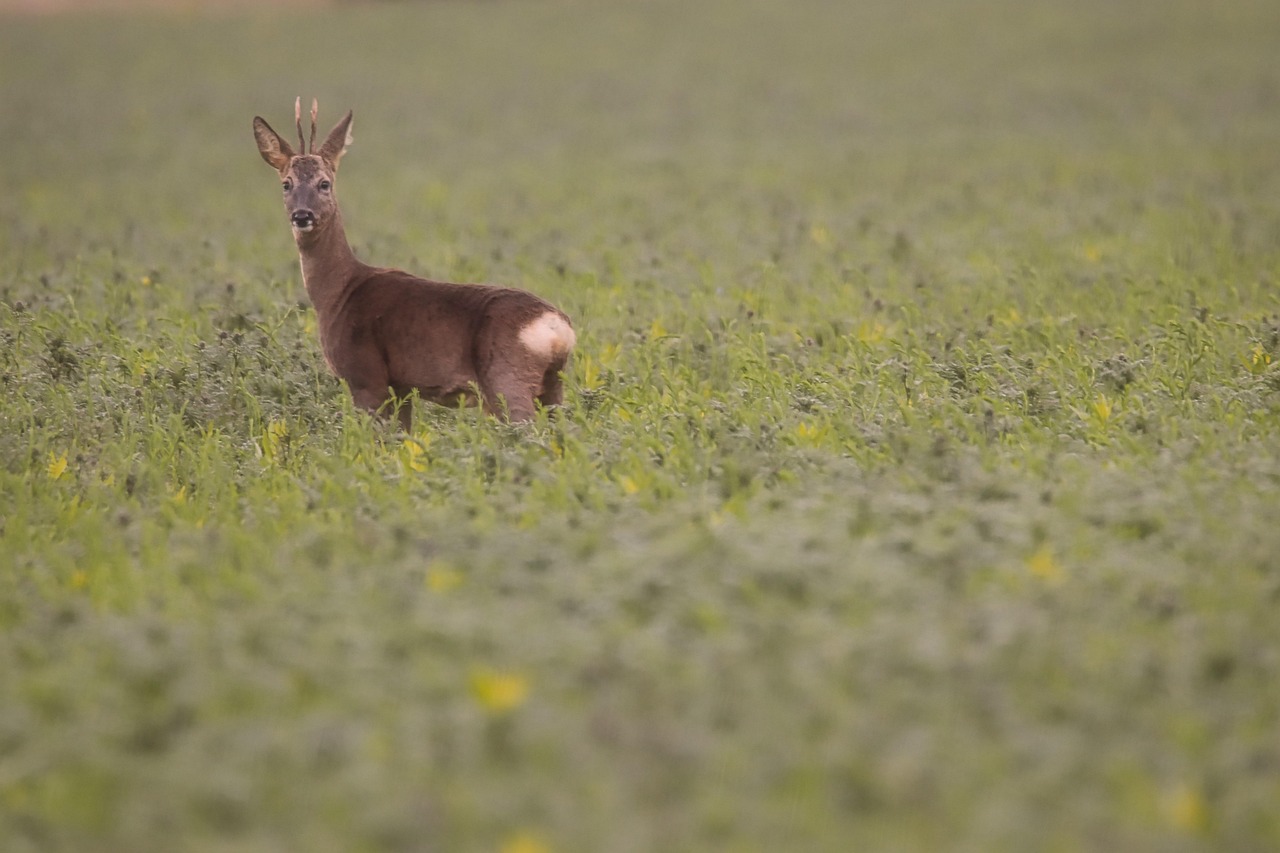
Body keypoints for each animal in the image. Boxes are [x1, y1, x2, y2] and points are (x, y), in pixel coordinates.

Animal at [252, 98, 575, 428]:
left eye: (324, 183)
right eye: (286, 184)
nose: (302, 215)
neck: (339, 292)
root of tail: (556, 329)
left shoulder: (366, 376)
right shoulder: (402, 386)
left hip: (506, 380)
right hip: (552, 386)